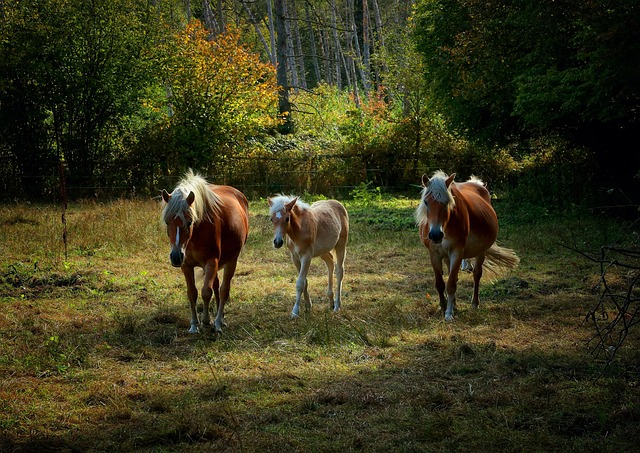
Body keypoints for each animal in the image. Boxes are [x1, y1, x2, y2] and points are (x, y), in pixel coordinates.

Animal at [161, 169, 249, 333]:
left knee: (223, 289)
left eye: (189, 222)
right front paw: (194, 325)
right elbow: (192, 293)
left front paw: (209, 321)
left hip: (231, 261)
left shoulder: (211, 262)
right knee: (216, 286)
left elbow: (206, 292)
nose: (175, 257)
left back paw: (219, 321)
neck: (197, 233)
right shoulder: (186, 265)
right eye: (167, 221)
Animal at [415, 171, 519, 321]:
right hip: (447, 257)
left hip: (481, 251)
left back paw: (475, 303)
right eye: (426, 202)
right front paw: (443, 307)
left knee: (476, 275)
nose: (435, 235)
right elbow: (440, 283)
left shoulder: (457, 252)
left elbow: (451, 284)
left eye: (447, 202)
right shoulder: (434, 254)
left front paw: (448, 313)